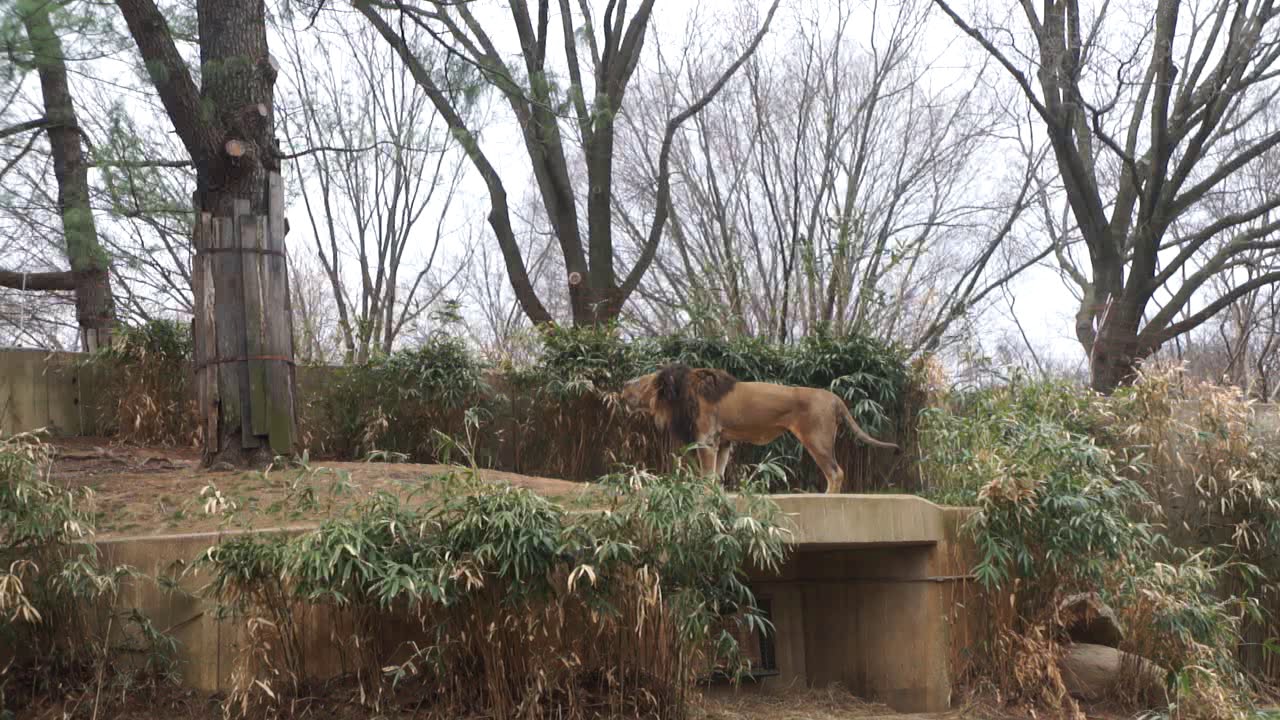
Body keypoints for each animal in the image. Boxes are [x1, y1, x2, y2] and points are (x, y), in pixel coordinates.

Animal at [619, 363, 899, 493]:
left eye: (641, 383)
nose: (623, 385)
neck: (682, 394)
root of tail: (834, 398)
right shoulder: (723, 442)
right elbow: (718, 475)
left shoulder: (706, 439)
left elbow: (707, 475)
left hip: (816, 440)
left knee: (836, 472)